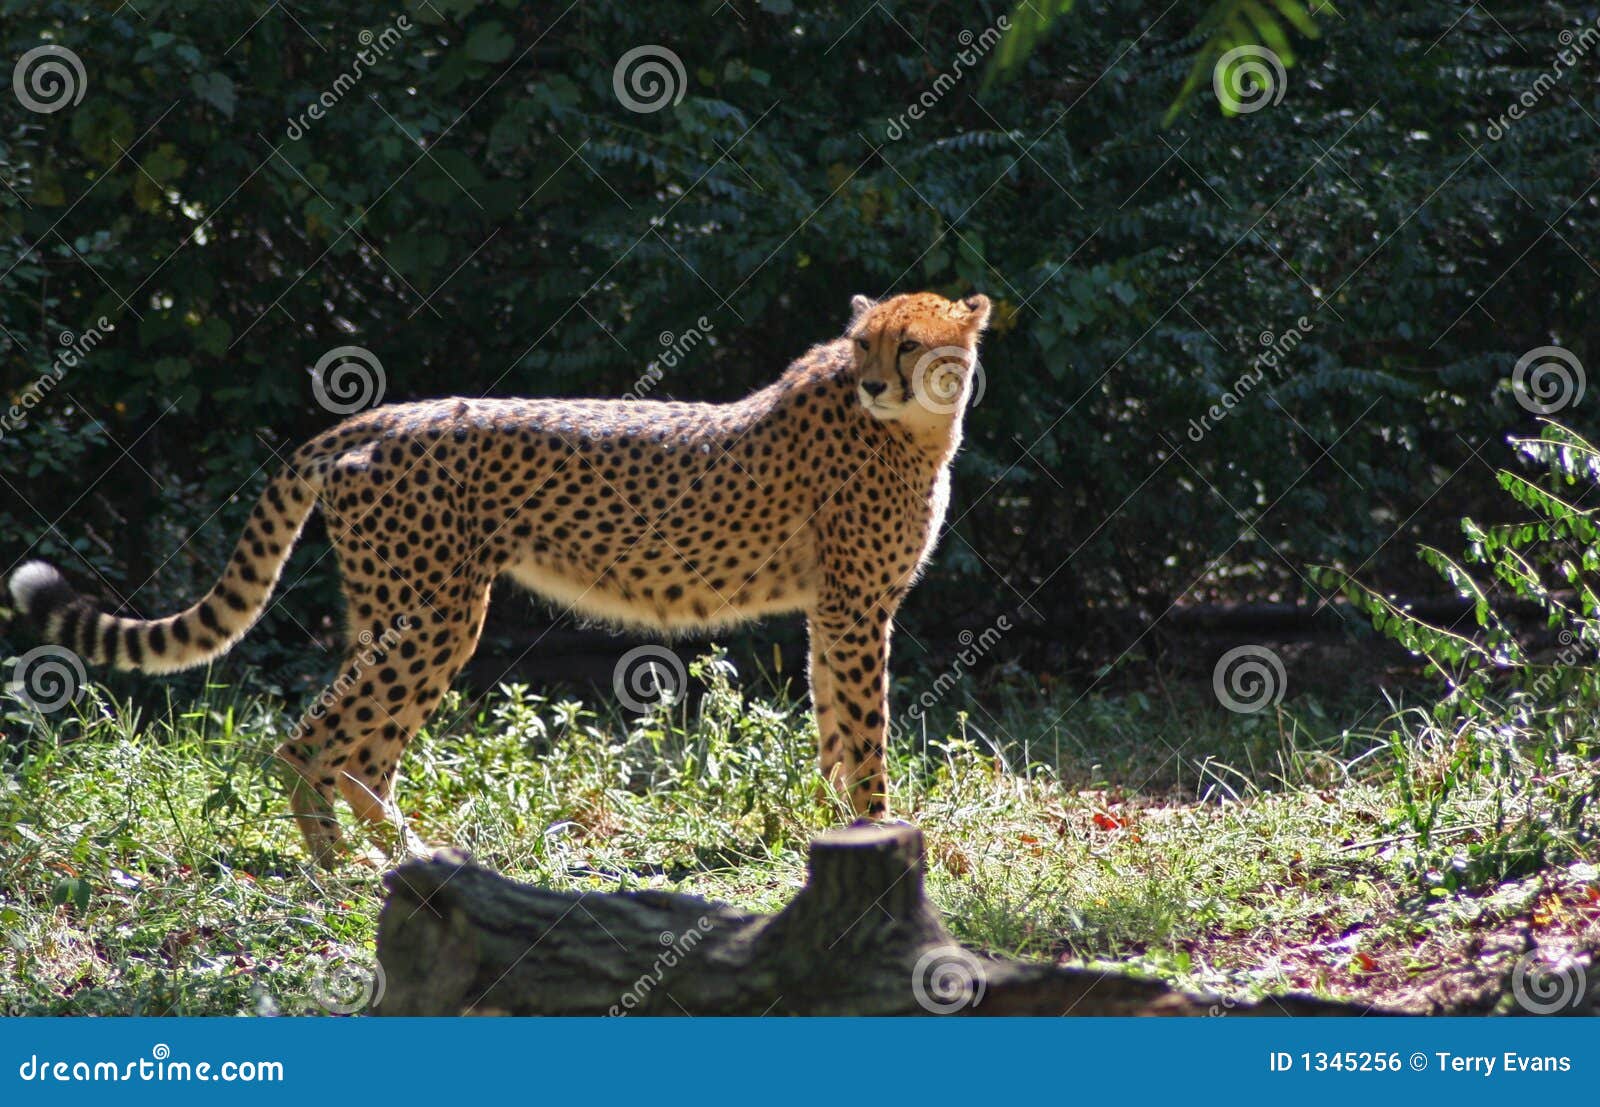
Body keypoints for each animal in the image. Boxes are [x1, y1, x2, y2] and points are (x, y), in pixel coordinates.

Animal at [8, 290, 992, 868]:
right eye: (862, 343)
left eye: (909, 344)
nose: (872, 384)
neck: (919, 428)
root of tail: (376, 415)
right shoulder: (858, 608)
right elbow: (866, 735)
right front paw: (887, 832)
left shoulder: (832, 610)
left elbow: (832, 729)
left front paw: (839, 834)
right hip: (440, 612)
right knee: (318, 741)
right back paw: (344, 871)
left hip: (391, 610)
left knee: (362, 747)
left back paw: (405, 860)